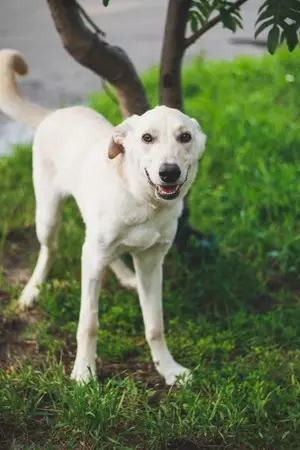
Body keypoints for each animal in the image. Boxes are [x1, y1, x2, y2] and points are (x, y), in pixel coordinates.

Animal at [0, 49, 206, 384]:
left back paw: (125, 276)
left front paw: (168, 368)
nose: (169, 172)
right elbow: (89, 323)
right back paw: (32, 291)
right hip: (48, 216)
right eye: (147, 138)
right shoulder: (93, 260)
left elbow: (155, 326)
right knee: (49, 250)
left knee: (108, 254)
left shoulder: (152, 263)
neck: (142, 201)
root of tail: (53, 114)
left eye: (185, 137)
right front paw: (84, 372)